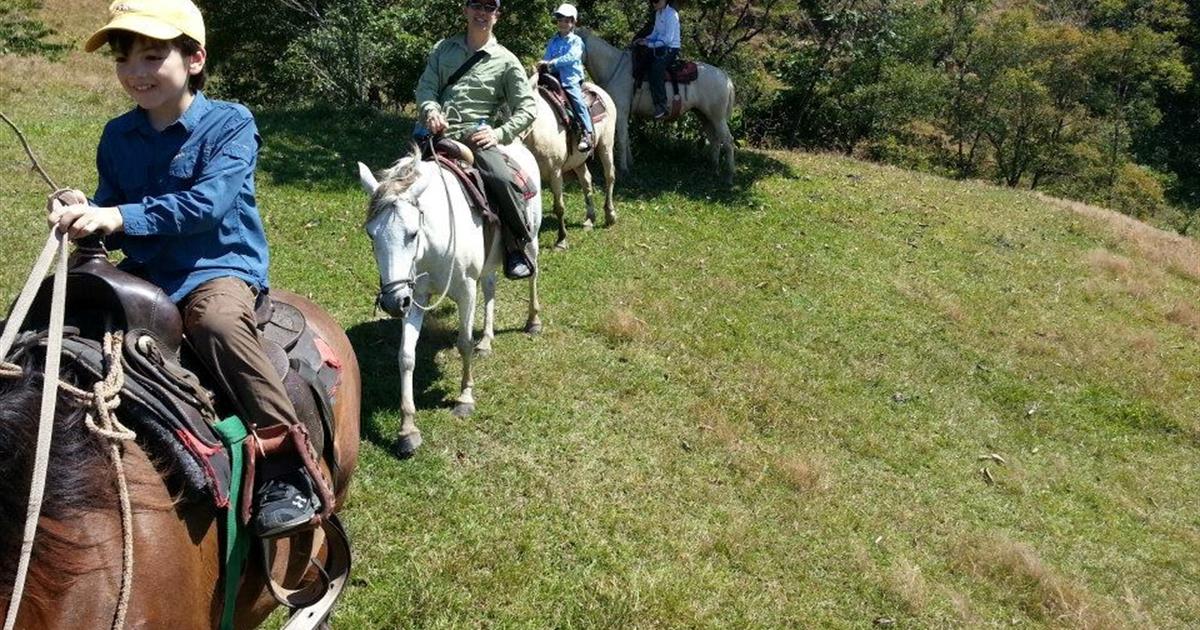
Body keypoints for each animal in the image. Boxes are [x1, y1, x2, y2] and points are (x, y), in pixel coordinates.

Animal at [358, 142, 543, 457]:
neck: (433, 245)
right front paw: (407, 430)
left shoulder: (466, 291)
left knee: (533, 275)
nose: (392, 303)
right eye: (371, 235)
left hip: (531, 240)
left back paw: (533, 321)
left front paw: (465, 399)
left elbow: (463, 343)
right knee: (490, 287)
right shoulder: (414, 296)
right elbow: (406, 355)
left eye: (413, 233)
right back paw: (487, 340)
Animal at [522, 74, 618, 250]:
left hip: (606, 144)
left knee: (610, 176)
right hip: (578, 160)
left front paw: (561, 240)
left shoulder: (555, 172)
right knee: (586, 180)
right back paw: (589, 219)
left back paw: (610, 215)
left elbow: (559, 207)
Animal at [578, 29, 736, 184]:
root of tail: (725, 77)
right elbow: (627, 139)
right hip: (704, 115)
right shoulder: (625, 113)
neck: (614, 68)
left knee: (728, 140)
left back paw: (729, 176)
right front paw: (630, 163)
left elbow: (622, 140)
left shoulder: (621, 112)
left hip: (718, 117)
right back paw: (713, 169)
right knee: (715, 139)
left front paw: (623, 169)